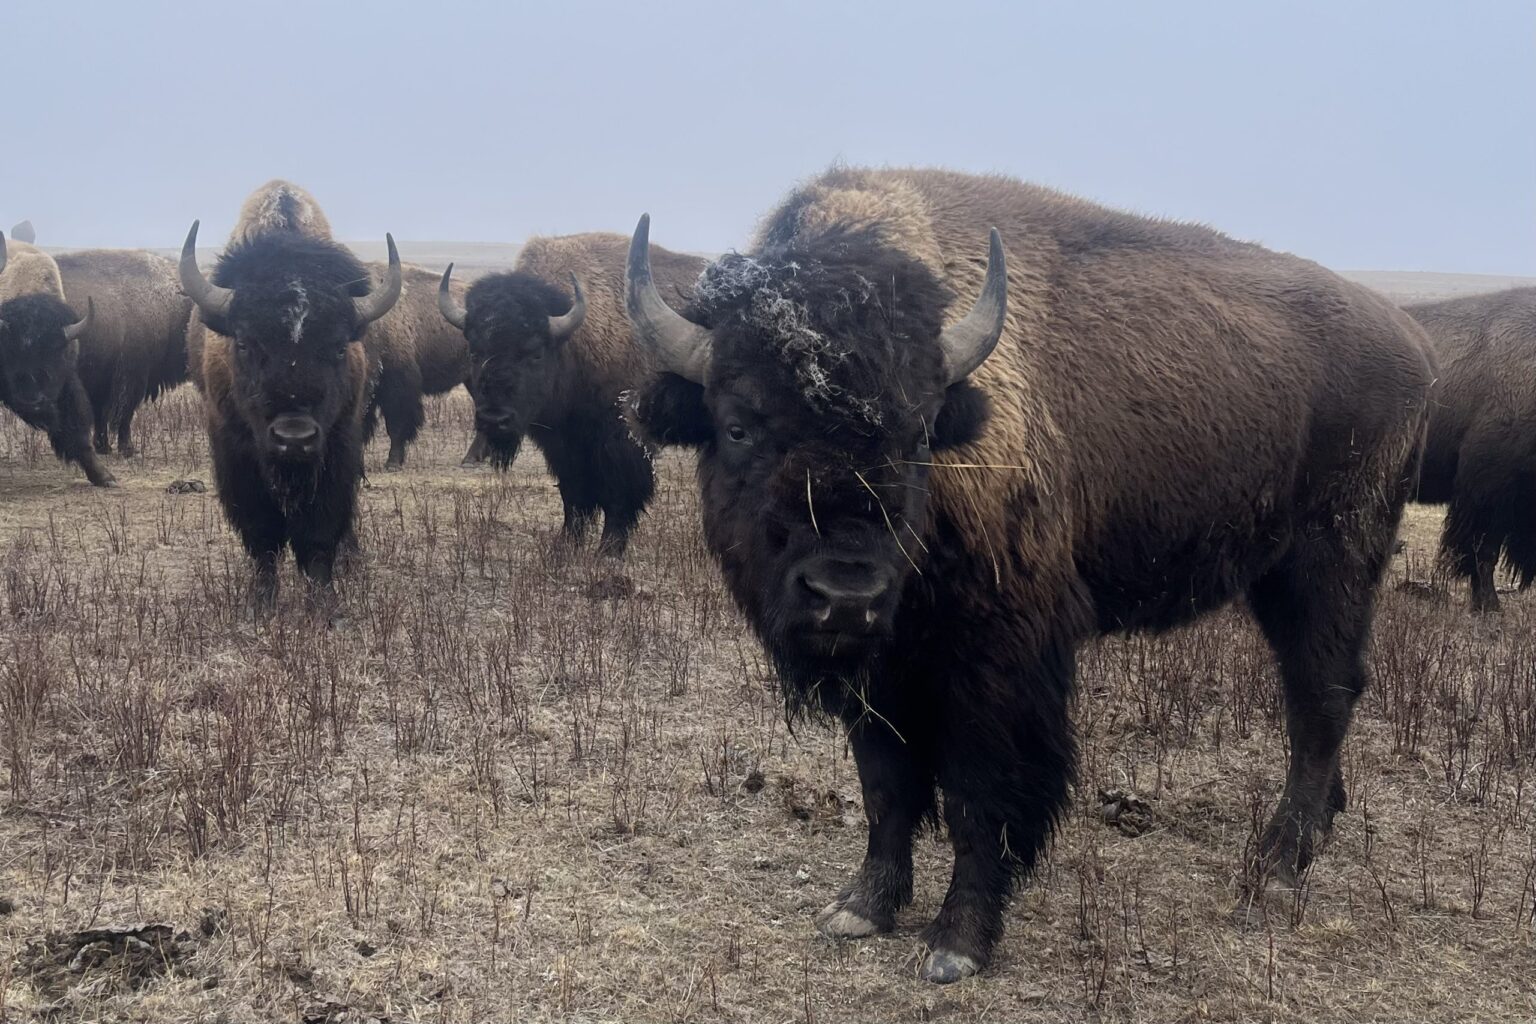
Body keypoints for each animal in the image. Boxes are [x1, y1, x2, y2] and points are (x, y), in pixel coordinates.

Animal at [0, 232, 114, 487]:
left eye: (57, 352)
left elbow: (78, 430)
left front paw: (104, 477)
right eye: (9, 353)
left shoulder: (66, 384)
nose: (33, 402)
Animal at [178, 218, 401, 609]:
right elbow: (263, 536)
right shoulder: (238, 459)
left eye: (339, 347)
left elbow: (319, 536)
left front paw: (326, 606)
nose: (294, 438)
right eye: (244, 343)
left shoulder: (338, 450)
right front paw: (261, 603)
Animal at [439, 233, 705, 555]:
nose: (494, 419)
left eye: (535, 353)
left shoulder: (622, 439)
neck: (574, 341)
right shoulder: (561, 444)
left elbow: (621, 493)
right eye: (475, 352)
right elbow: (574, 493)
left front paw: (608, 550)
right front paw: (565, 544)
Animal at [625, 168, 1434, 982]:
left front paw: (956, 944)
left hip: (1328, 564)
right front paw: (862, 907)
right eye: (737, 426)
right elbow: (886, 784)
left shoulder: (998, 663)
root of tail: (1413, 345)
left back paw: (1275, 868)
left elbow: (981, 795)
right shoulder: (883, 671)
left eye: (920, 433)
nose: (846, 594)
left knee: (1320, 698)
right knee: (1316, 700)